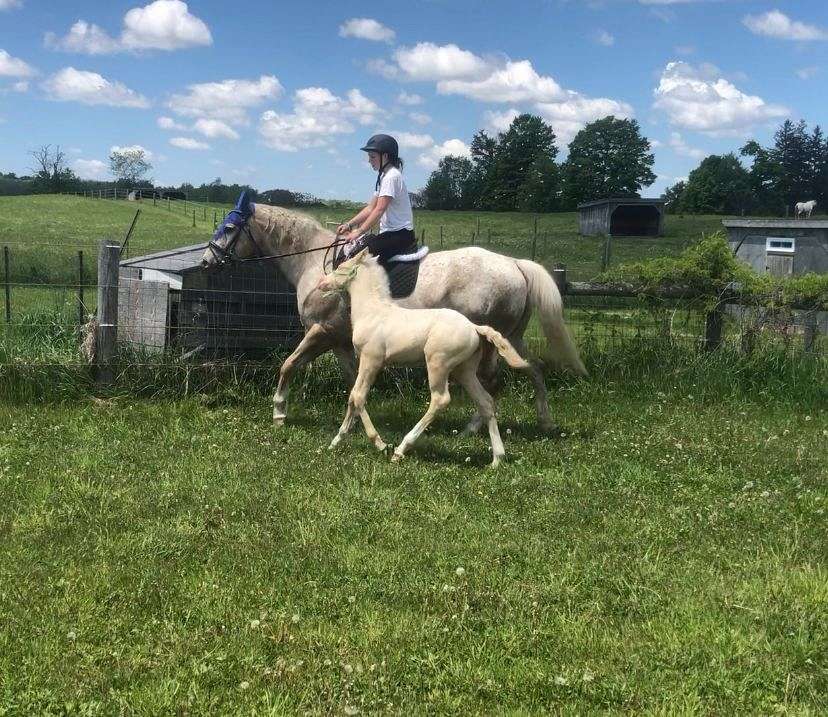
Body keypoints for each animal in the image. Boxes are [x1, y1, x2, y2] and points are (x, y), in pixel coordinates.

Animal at [201, 192, 586, 434]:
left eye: (230, 228)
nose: (207, 262)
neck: (314, 263)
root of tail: (514, 264)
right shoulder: (342, 341)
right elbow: (351, 379)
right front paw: (358, 421)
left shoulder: (321, 331)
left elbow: (289, 364)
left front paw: (280, 410)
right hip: (511, 337)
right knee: (532, 369)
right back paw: (544, 420)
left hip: (489, 338)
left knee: (493, 380)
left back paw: (472, 427)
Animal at [319, 249, 531, 467]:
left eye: (341, 268)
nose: (321, 283)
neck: (373, 312)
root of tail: (474, 327)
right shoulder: (366, 361)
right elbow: (353, 396)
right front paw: (336, 441)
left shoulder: (372, 360)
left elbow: (359, 396)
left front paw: (380, 444)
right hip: (464, 370)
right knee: (486, 402)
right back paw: (497, 459)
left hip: (437, 364)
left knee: (441, 399)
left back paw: (401, 449)